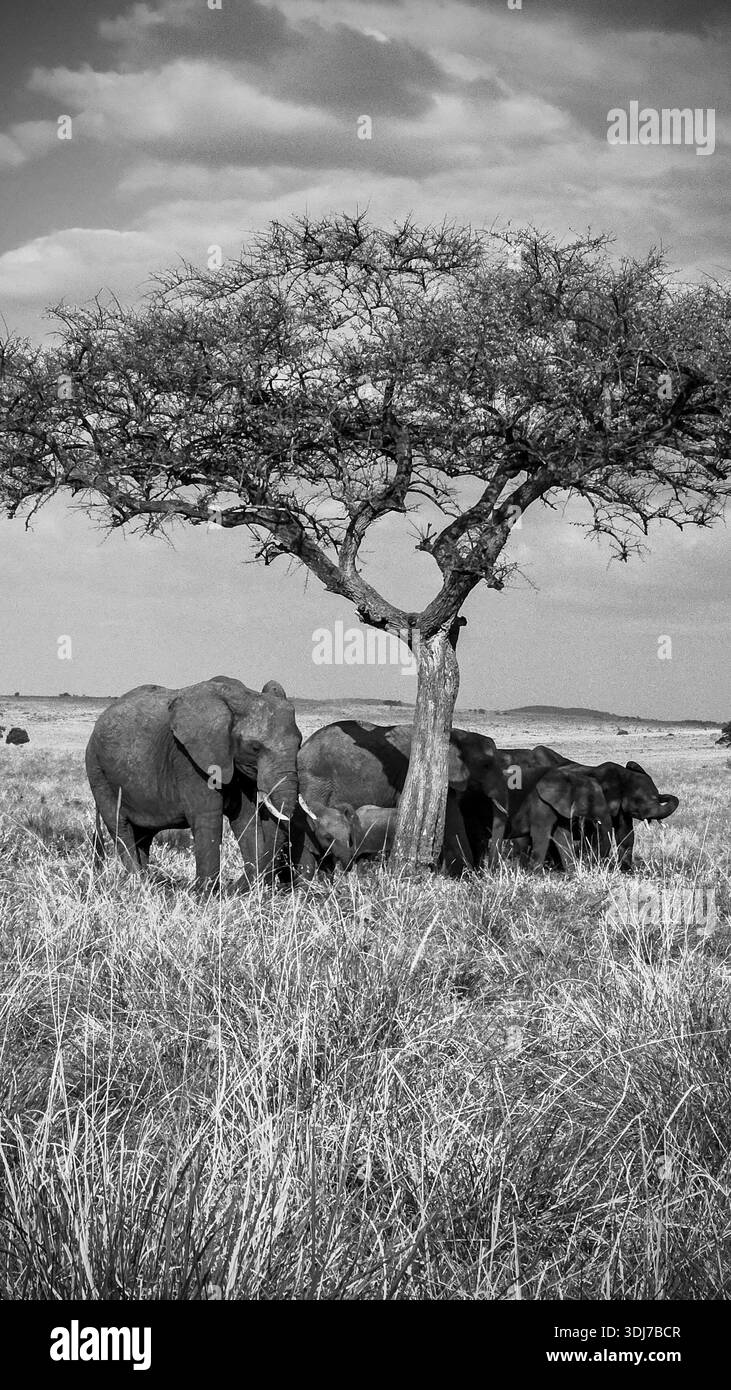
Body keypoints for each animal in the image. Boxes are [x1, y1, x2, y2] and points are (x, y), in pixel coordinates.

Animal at [86, 675, 301, 892]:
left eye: (300, 744)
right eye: (255, 747)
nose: (232, 888)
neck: (244, 696)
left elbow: (246, 819)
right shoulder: (189, 759)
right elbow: (208, 819)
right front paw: (206, 895)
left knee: (143, 836)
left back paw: (147, 882)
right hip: (97, 770)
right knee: (120, 826)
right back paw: (138, 884)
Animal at [297, 721, 508, 874]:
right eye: (486, 764)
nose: (490, 872)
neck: (455, 734)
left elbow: (454, 821)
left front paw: (463, 875)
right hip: (315, 781)